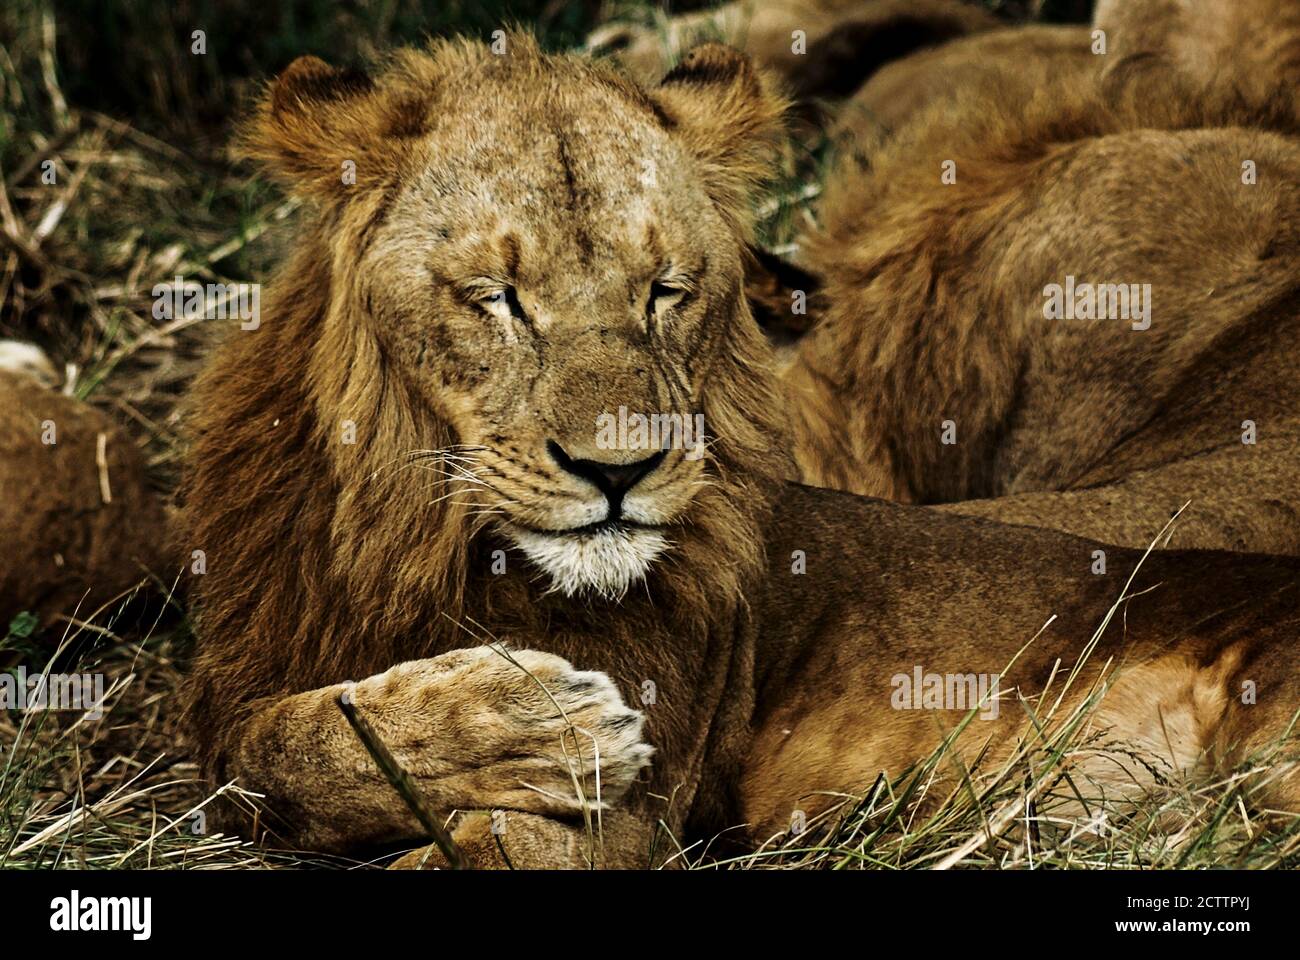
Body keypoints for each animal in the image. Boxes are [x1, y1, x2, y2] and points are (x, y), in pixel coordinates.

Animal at [182, 35, 1300, 868]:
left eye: (665, 290)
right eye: (499, 298)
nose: (619, 471)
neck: (418, 538)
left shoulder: (630, 812)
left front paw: (538, 723)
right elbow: (273, 745)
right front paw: (521, 716)